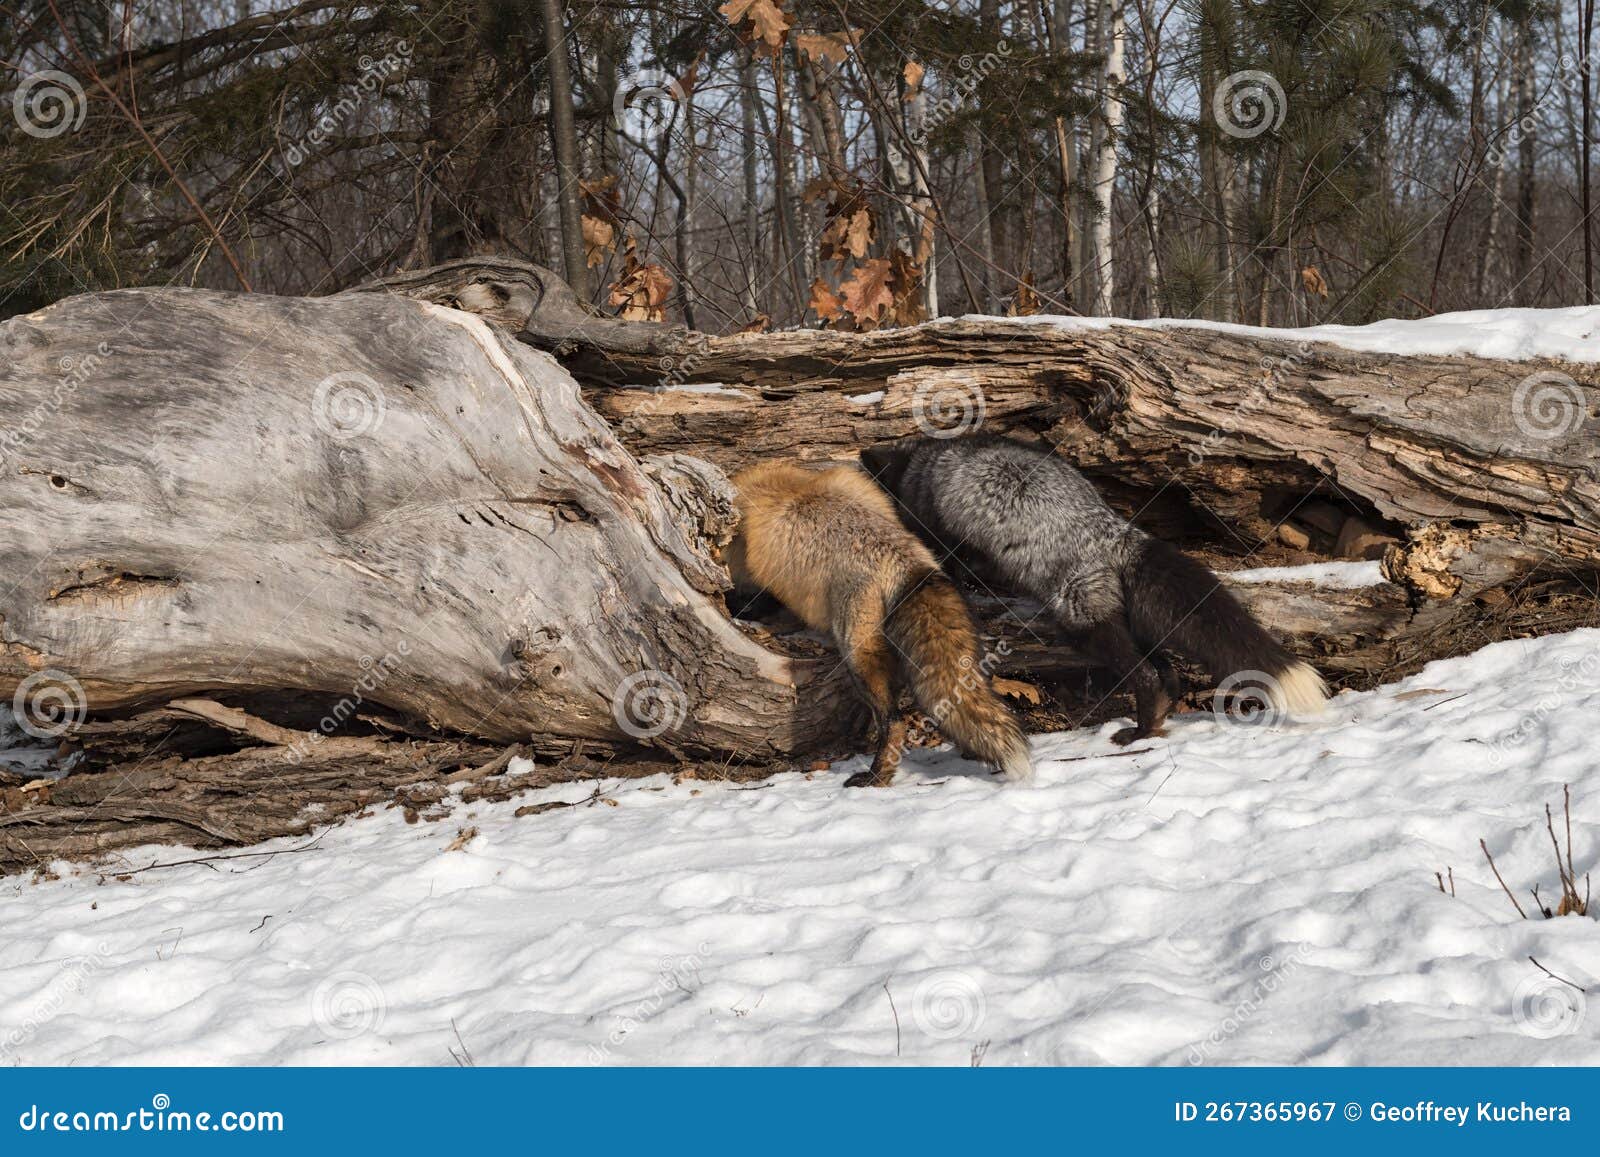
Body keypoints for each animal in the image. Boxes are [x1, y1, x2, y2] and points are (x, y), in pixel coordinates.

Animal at [860, 434, 1327, 745]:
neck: (927, 464)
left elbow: (954, 566)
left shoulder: (942, 534)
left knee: (1144, 674)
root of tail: (1117, 533)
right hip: (1129, 622)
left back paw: (1140, 730)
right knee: (1166, 672)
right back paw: (1158, 718)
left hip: (1083, 624)